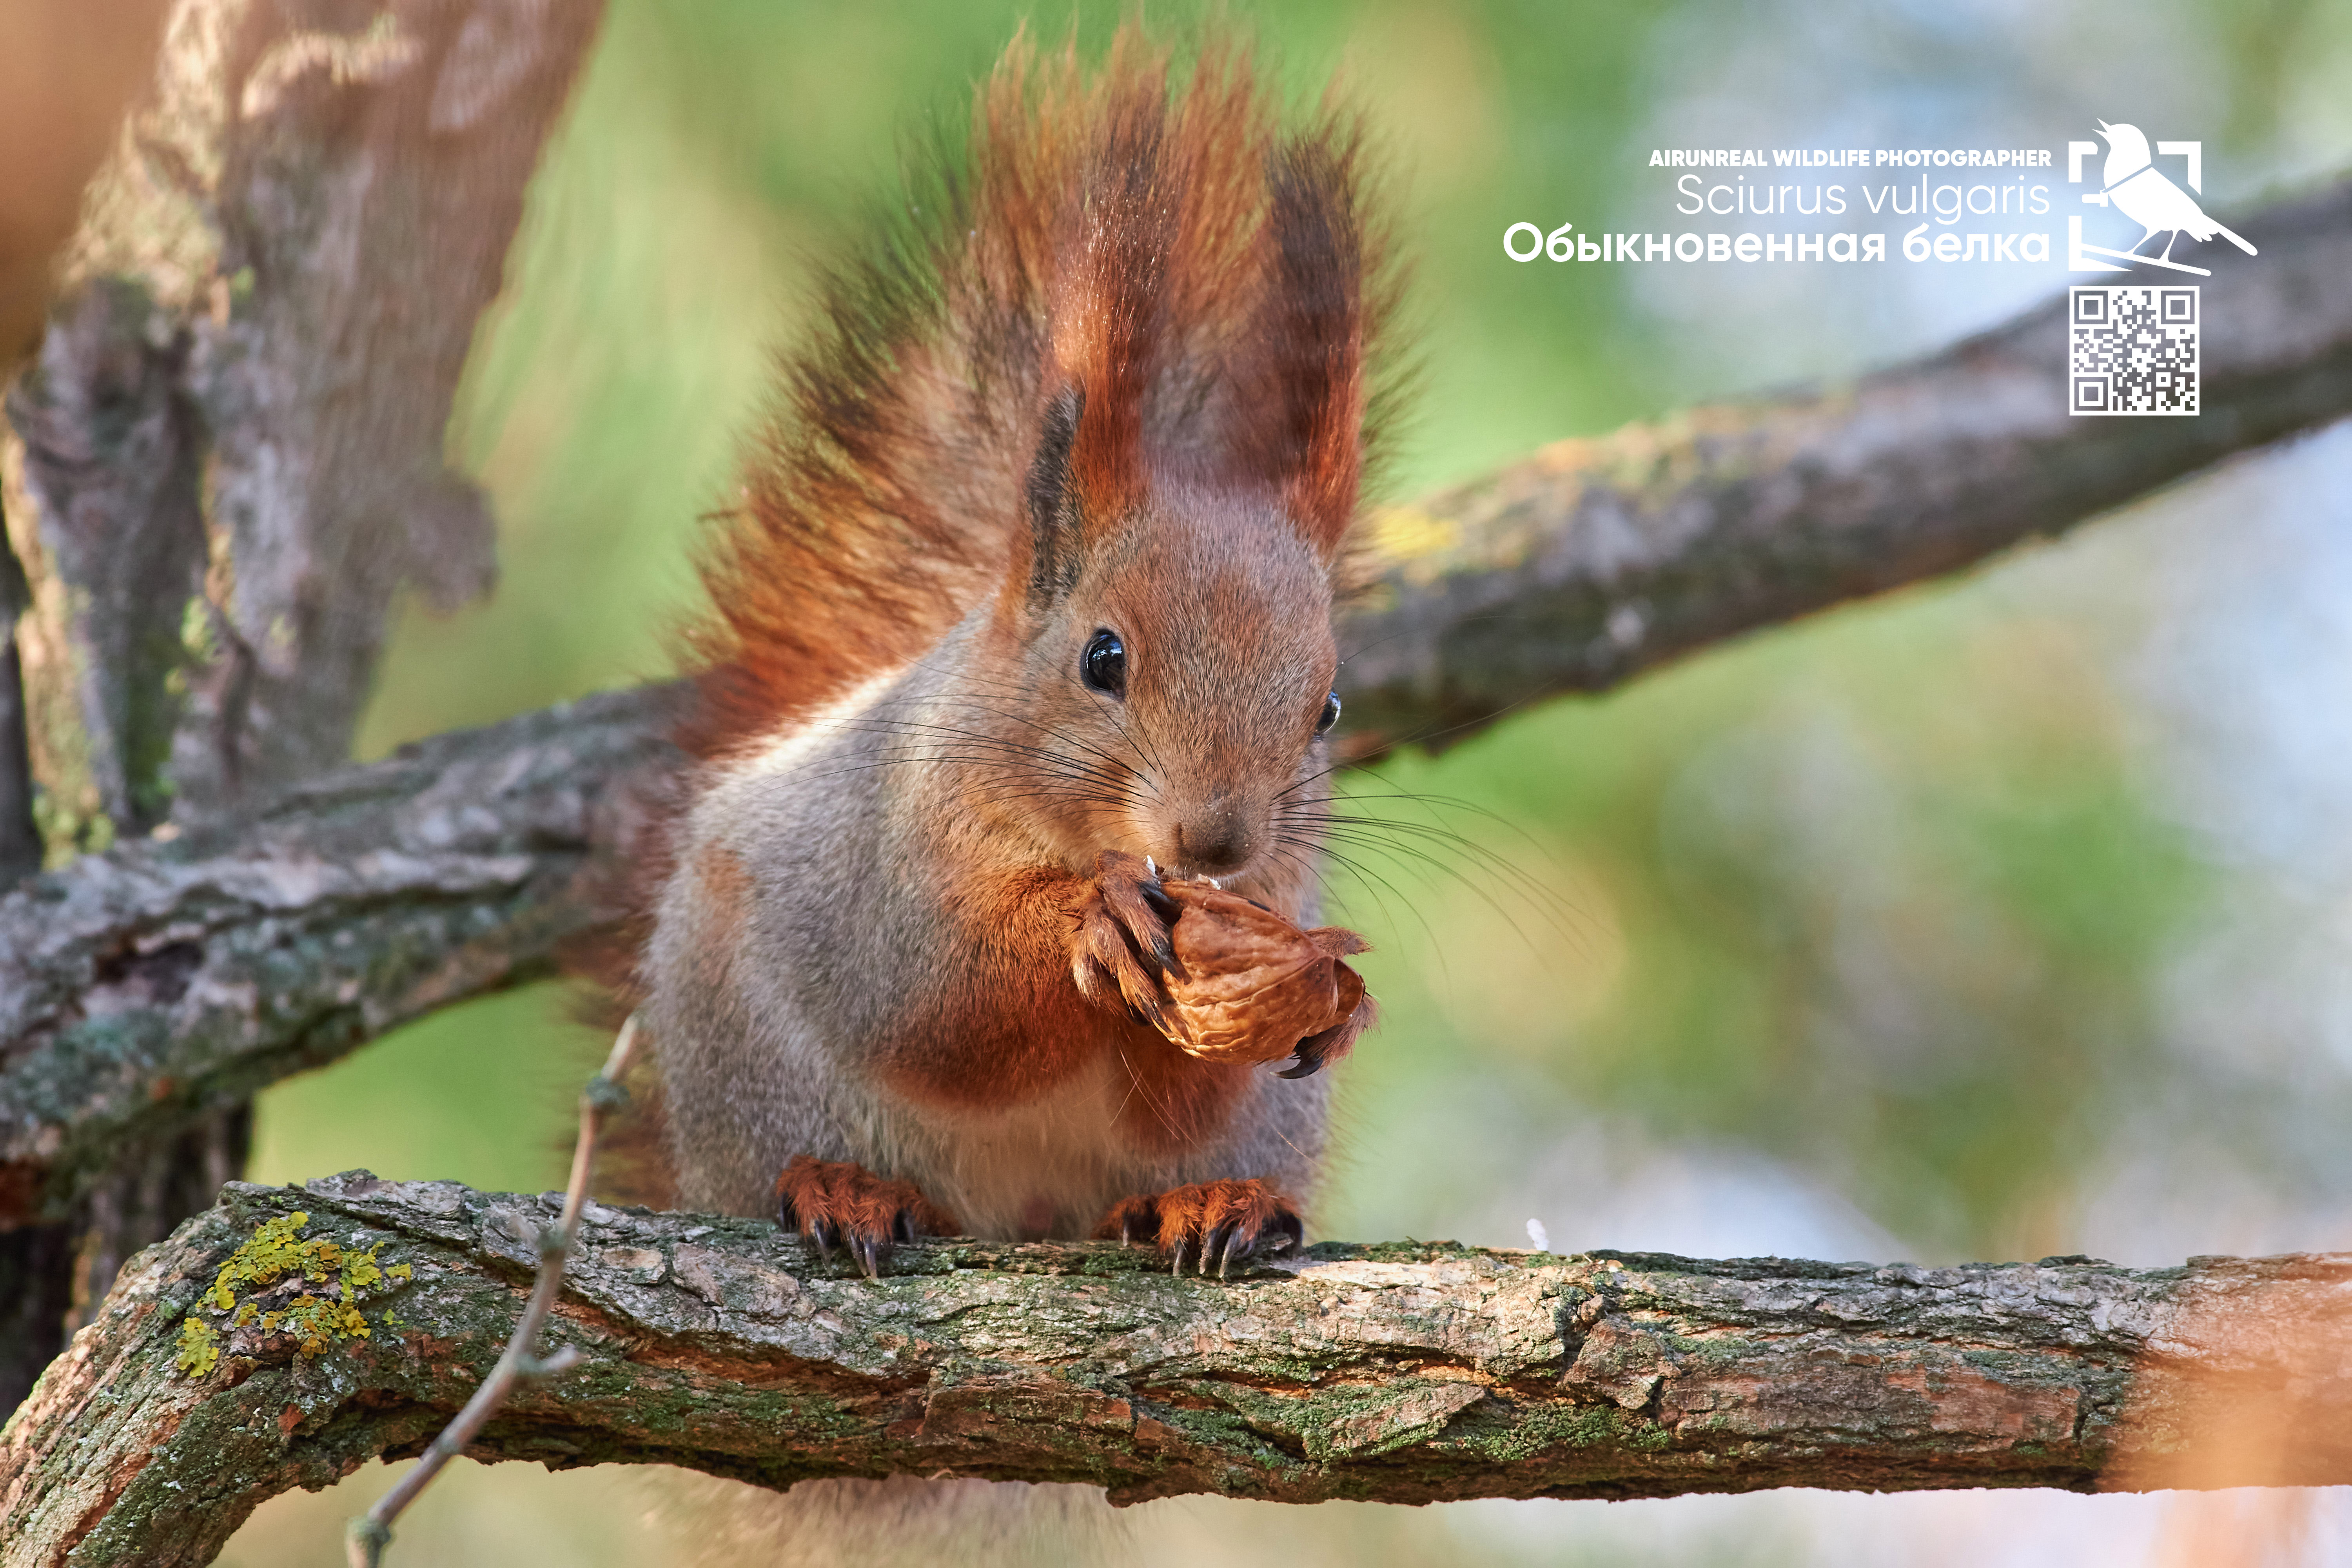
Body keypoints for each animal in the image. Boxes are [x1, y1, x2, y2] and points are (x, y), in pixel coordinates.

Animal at [635, 27, 1383, 1279]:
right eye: (1102, 658)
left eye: (1327, 709)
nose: (1215, 843)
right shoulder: (886, 857)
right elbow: (939, 1005)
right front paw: (1095, 921)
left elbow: (1187, 1089)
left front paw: (1335, 992)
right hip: (745, 1069)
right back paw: (839, 1185)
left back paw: (1207, 1201)